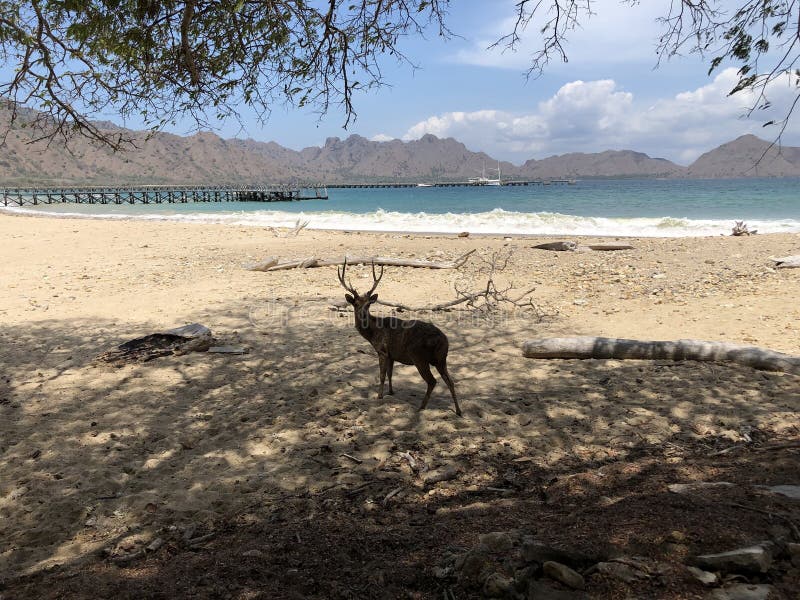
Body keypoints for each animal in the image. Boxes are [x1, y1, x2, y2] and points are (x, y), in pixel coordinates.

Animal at [338, 259, 461, 416]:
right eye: (356, 304)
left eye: (368, 304)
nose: (363, 314)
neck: (373, 333)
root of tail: (444, 341)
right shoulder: (392, 355)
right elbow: (390, 374)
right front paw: (391, 392)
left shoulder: (382, 351)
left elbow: (382, 375)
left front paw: (379, 396)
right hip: (441, 359)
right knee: (450, 381)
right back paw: (458, 411)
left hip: (419, 357)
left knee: (432, 381)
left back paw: (421, 407)